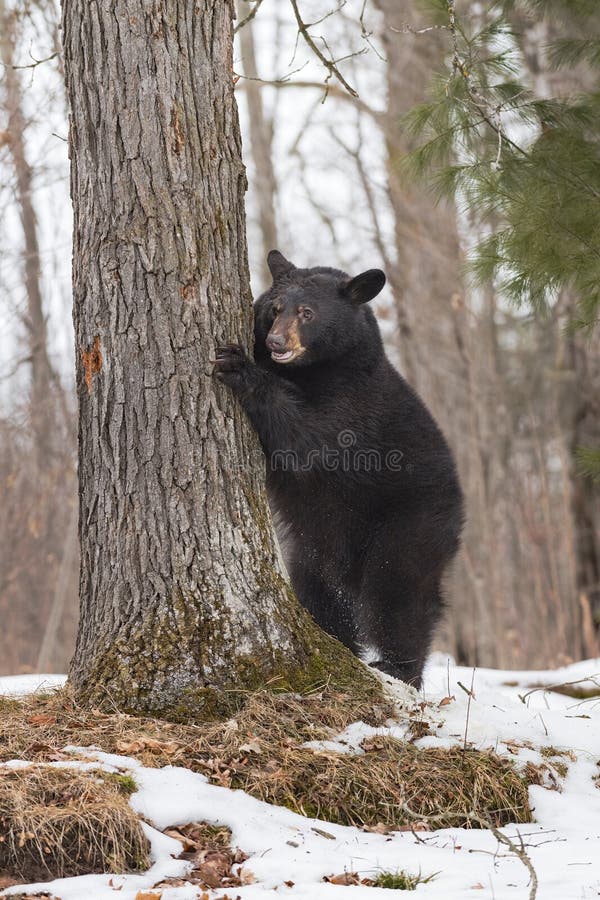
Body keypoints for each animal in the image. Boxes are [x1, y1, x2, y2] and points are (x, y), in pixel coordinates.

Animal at [213, 250, 464, 688]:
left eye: (307, 313)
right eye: (275, 308)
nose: (276, 342)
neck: (317, 367)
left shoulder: (355, 403)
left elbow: (309, 436)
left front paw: (238, 367)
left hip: (411, 522)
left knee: (400, 593)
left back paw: (399, 668)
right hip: (315, 544)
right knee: (323, 592)